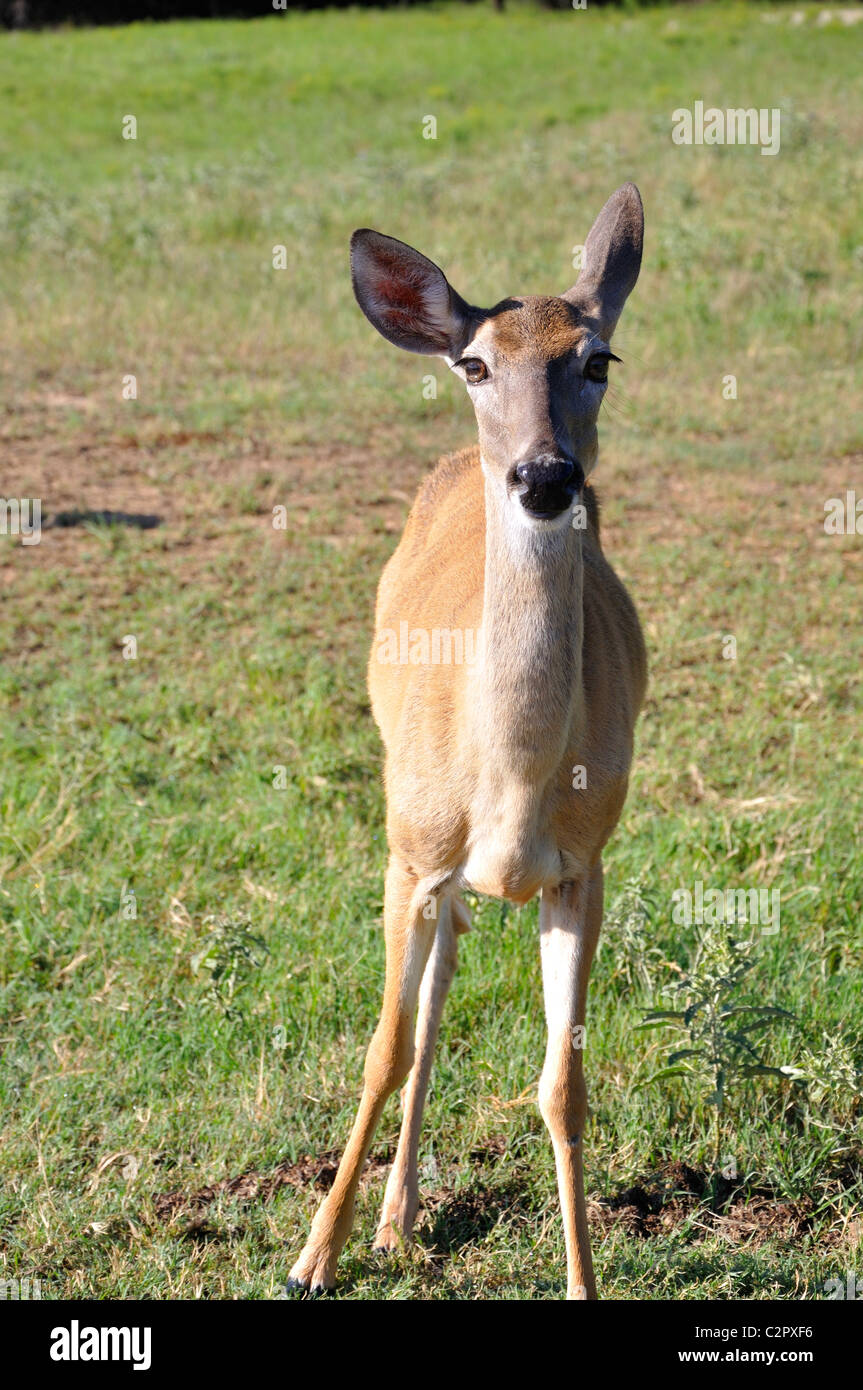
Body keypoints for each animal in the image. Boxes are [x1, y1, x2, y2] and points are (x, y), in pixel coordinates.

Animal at [288, 183, 647, 1300]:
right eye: (476, 364)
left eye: (597, 359)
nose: (543, 475)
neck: (517, 780)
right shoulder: (407, 848)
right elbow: (382, 1047)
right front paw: (310, 1256)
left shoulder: (585, 863)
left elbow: (563, 1083)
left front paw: (582, 1282)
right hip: (417, 841)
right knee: (429, 1003)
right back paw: (386, 1221)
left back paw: (399, 1216)